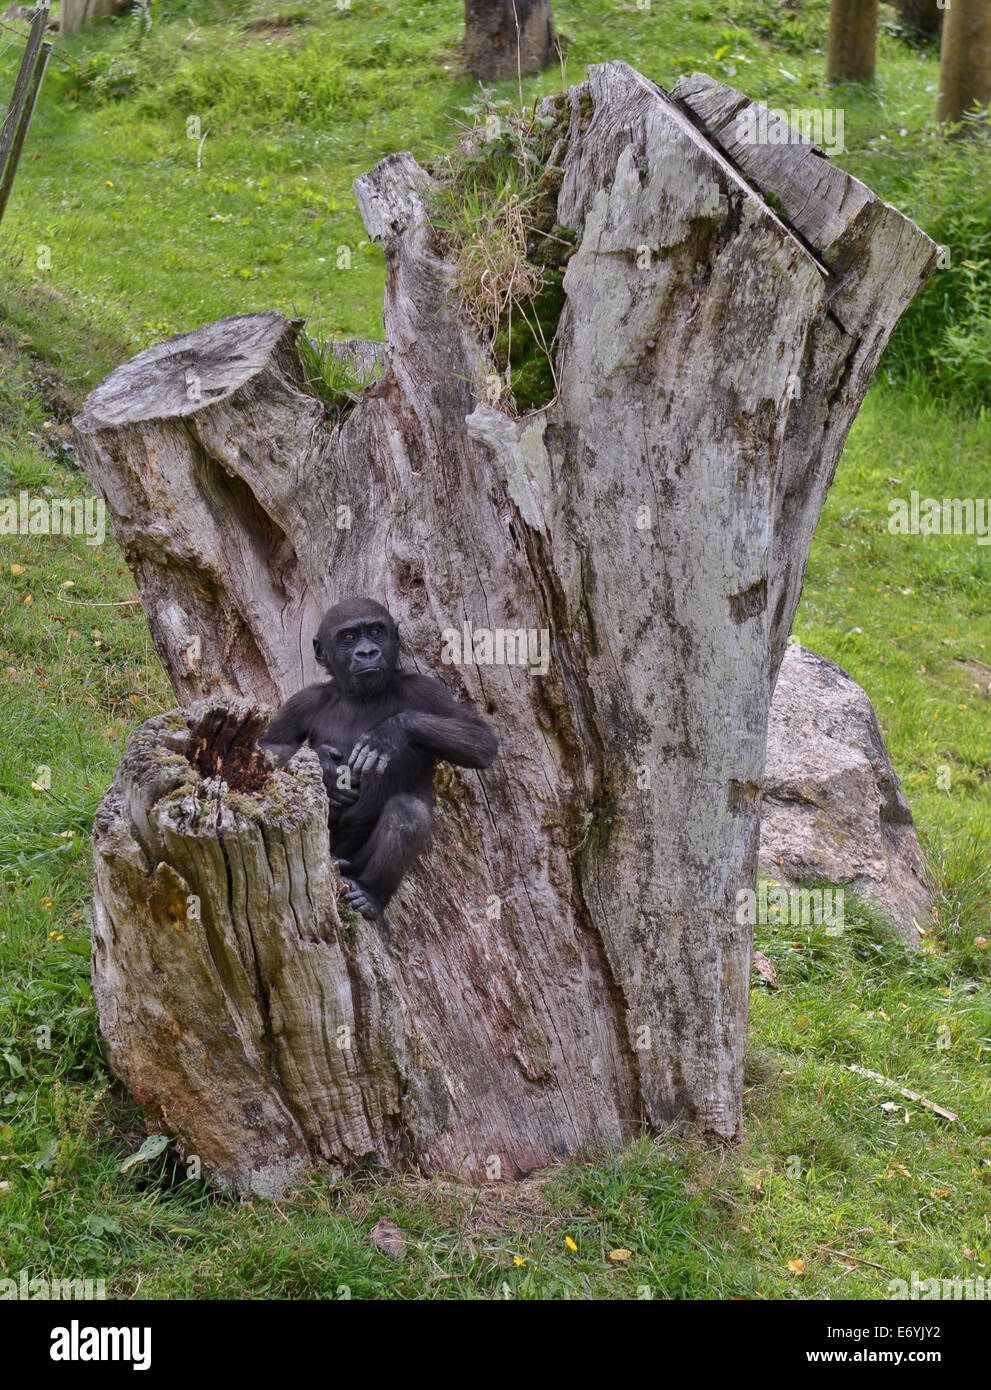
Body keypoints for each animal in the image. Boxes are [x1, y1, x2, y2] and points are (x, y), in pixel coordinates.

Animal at [259, 597, 498, 927]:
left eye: (375, 632)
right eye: (348, 637)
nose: (367, 652)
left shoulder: (427, 690)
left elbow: (481, 739)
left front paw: (390, 733)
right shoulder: (304, 701)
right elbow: (266, 746)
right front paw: (325, 767)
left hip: (355, 864)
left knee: (408, 814)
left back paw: (370, 894)